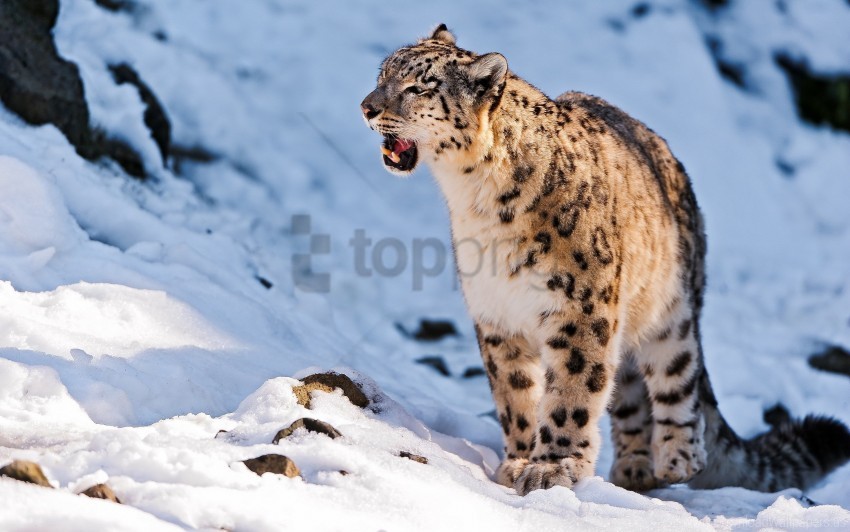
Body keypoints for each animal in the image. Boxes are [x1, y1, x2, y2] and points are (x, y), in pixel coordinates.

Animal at [361, 24, 850, 495]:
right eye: (382, 75)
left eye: (418, 87)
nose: (366, 107)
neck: (475, 201)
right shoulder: (496, 315)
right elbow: (515, 394)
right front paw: (519, 459)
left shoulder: (579, 307)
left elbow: (572, 389)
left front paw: (551, 468)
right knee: (629, 390)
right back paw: (635, 468)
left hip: (669, 311)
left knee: (680, 375)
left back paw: (676, 456)